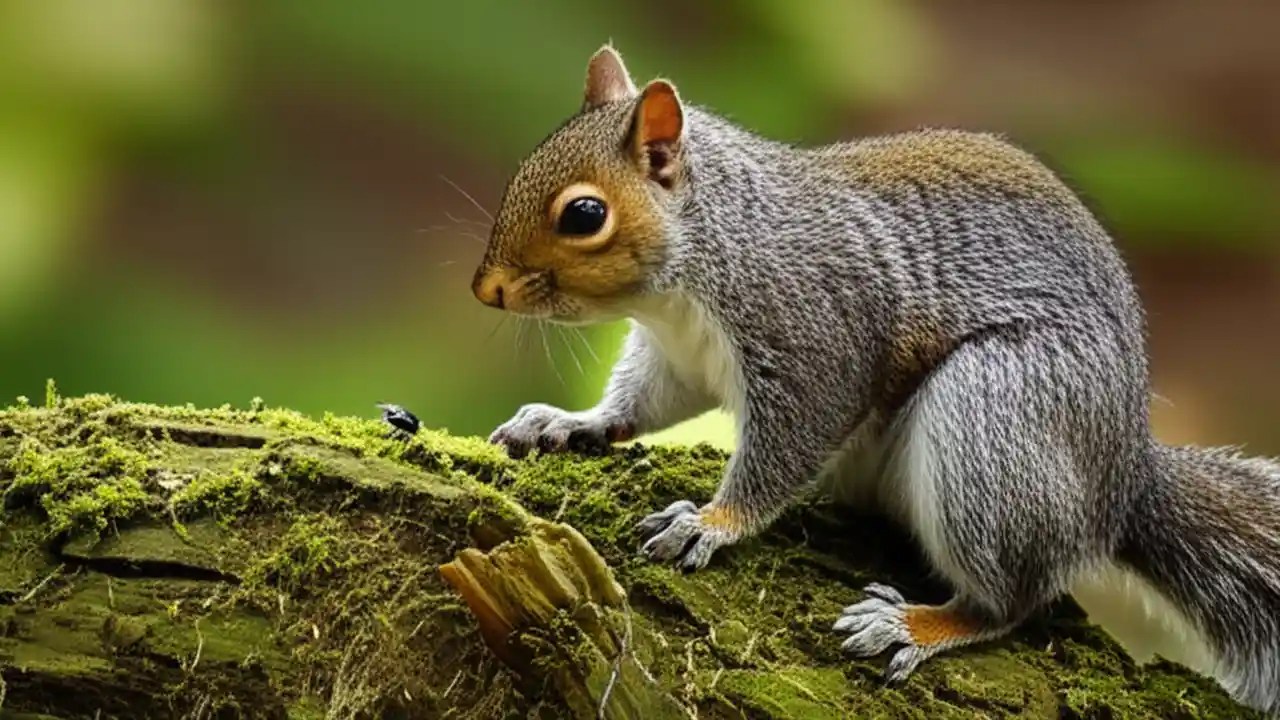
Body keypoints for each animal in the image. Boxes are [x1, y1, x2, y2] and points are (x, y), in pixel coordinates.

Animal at [470, 45, 1280, 714]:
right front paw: (569, 422)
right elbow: (643, 403)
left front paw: (712, 522)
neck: (702, 259)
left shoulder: (815, 337)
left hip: (998, 413)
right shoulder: (676, 357)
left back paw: (919, 624)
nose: (487, 290)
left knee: (1014, 602)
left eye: (584, 214)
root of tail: (1123, 479)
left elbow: (789, 442)